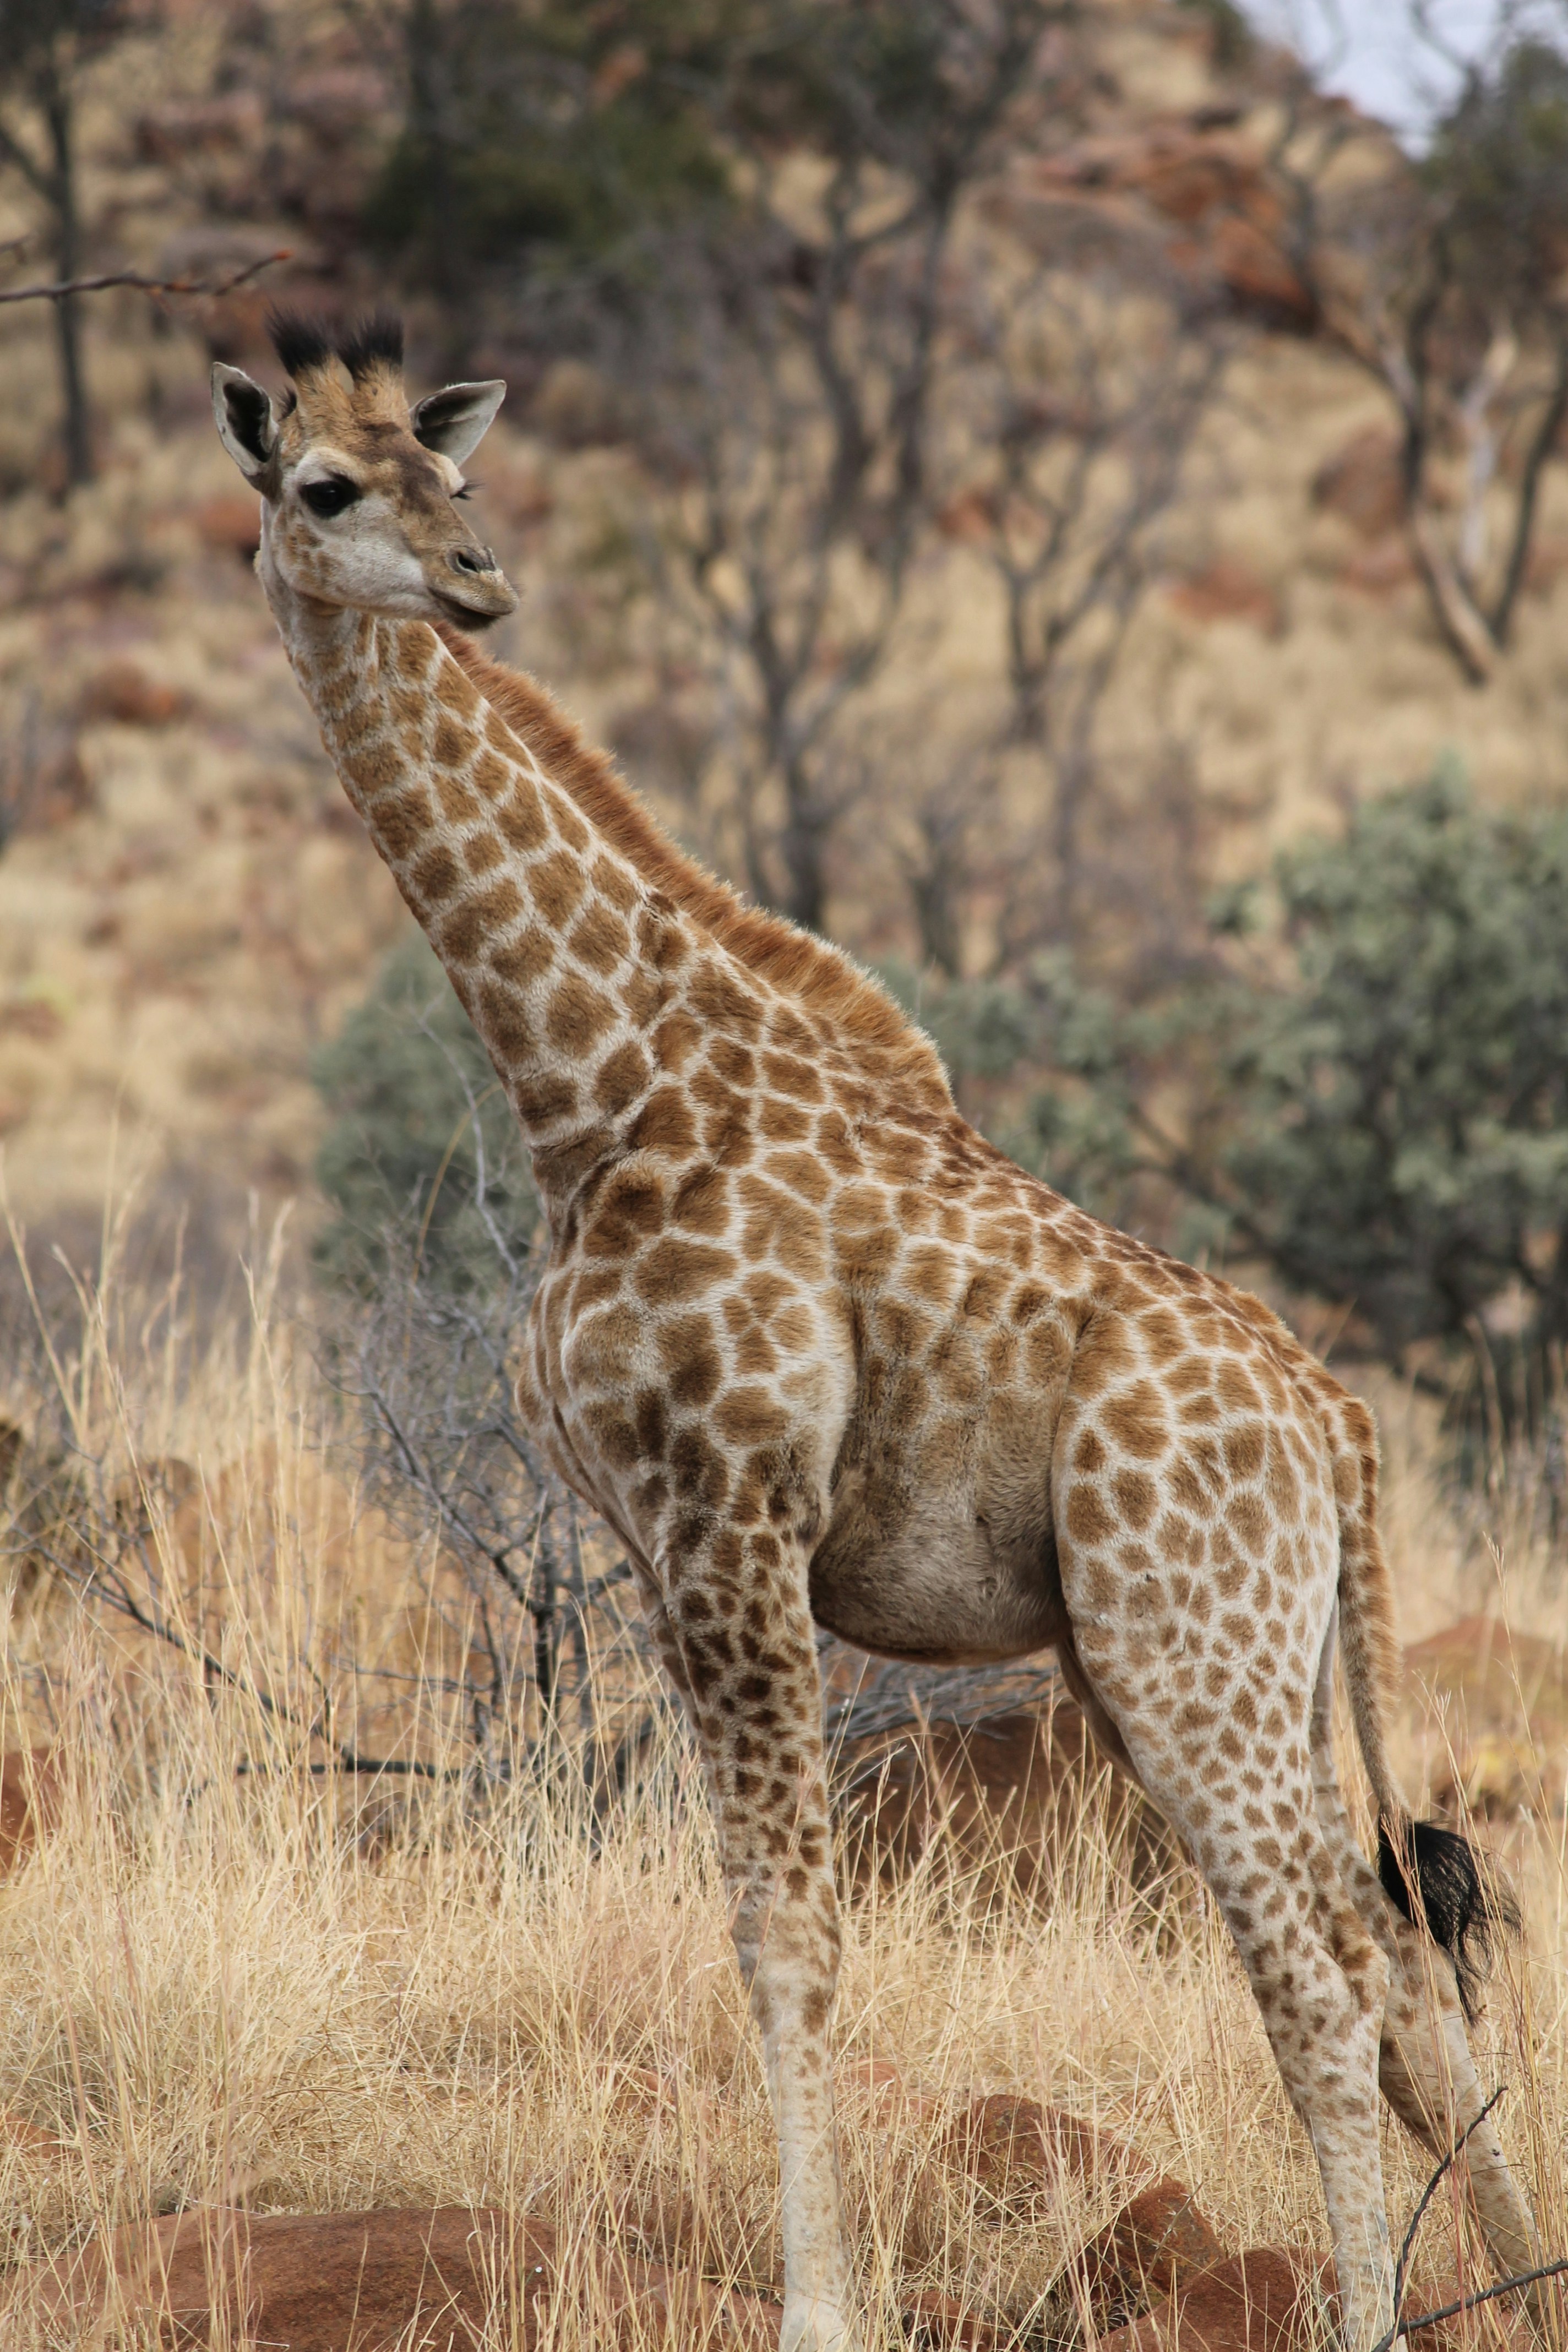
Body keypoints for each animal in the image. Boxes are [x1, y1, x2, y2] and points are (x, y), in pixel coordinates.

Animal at [211, 315, 1548, 2352]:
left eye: (454, 478)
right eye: (327, 485)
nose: (476, 582)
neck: (586, 1088)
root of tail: (1338, 1424)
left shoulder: (733, 1515)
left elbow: (792, 1938)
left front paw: (816, 2314)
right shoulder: (656, 1550)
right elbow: (756, 1925)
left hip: (1181, 1652)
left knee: (1321, 1976)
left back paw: (1362, 2318)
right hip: (1227, 1661)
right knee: (1396, 1954)